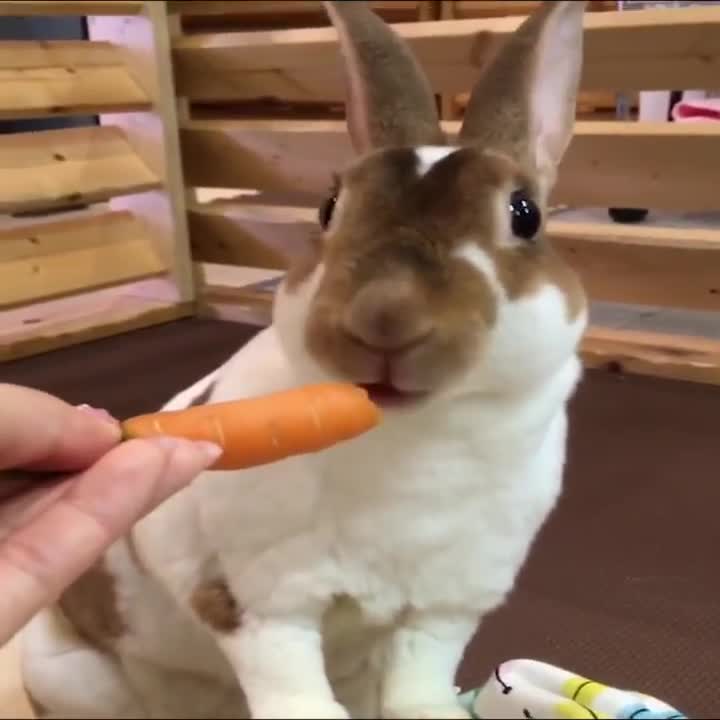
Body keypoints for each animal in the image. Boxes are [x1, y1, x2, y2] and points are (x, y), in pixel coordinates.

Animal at [20, 1, 588, 718]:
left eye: (526, 213)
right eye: (328, 207)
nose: (385, 315)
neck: (412, 441)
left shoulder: (446, 604)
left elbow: (418, 677)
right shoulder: (260, 598)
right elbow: (291, 683)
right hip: (72, 677)